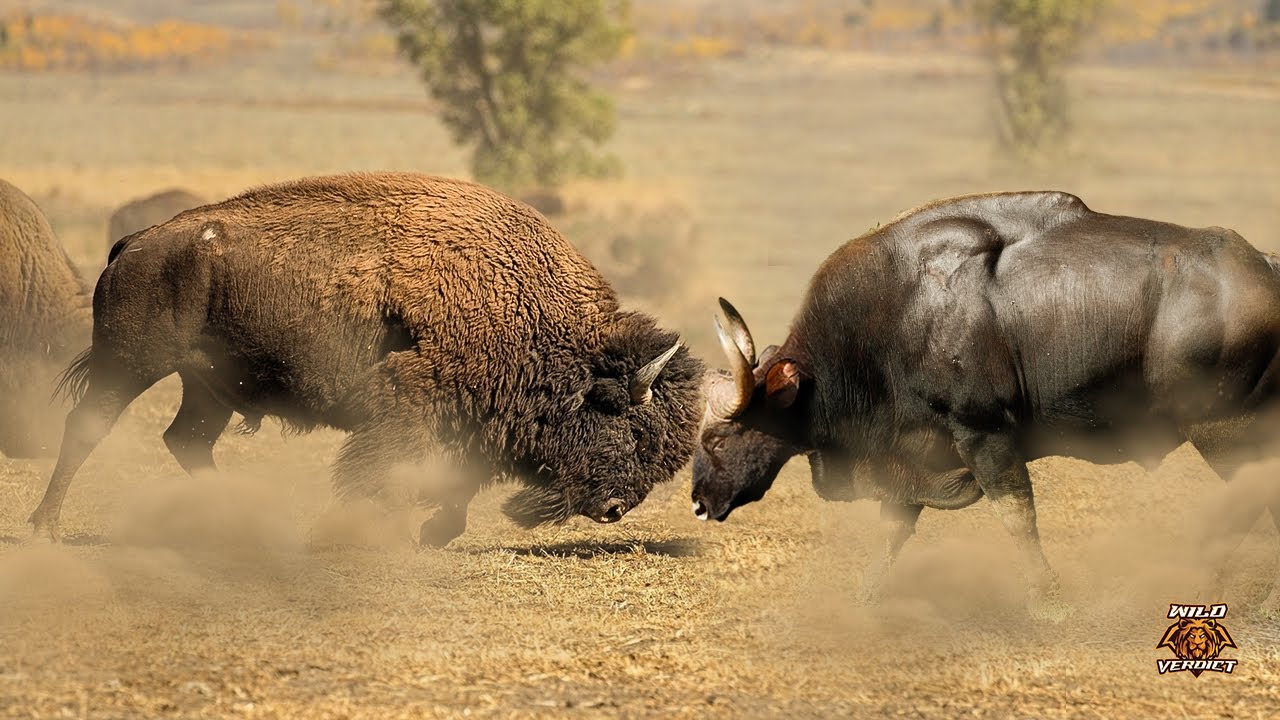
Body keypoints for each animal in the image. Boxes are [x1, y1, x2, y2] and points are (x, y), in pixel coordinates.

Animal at [30, 172, 704, 546]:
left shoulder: (470, 422)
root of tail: (133, 244)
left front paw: (430, 533)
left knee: (186, 440)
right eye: (634, 431)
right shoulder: (406, 410)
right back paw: (45, 527)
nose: (614, 510)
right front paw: (369, 530)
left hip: (207, 387)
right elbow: (380, 474)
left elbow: (455, 489)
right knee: (87, 427)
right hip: (130, 365)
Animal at [693, 191, 1280, 616]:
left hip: (1223, 431)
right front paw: (865, 595)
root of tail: (1265, 267)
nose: (698, 503)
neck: (896, 318)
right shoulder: (915, 453)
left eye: (719, 438)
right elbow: (894, 529)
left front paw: (1047, 599)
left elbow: (1016, 516)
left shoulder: (983, 435)